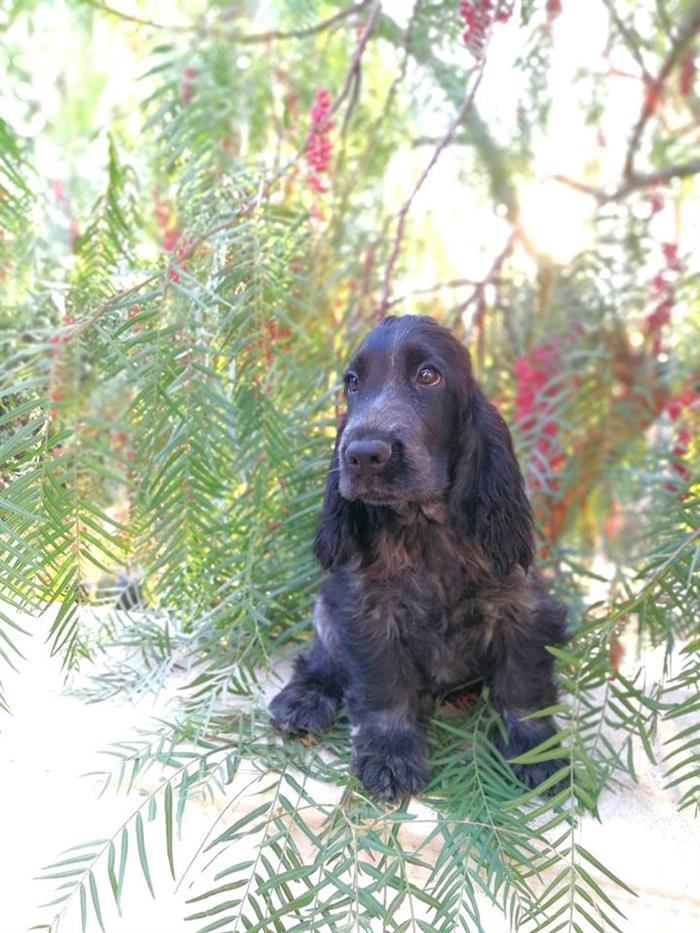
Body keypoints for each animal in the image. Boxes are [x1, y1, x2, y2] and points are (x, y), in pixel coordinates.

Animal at [270, 316, 568, 796]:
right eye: (352, 383)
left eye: (428, 376)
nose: (362, 455)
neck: (425, 527)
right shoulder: (367, 611)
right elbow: (384, 686)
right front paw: (390, 757)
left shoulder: (521, 603)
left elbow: (524, 685)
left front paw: (535, 751)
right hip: (328, 606)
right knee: (320, 658)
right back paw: (303, 699)